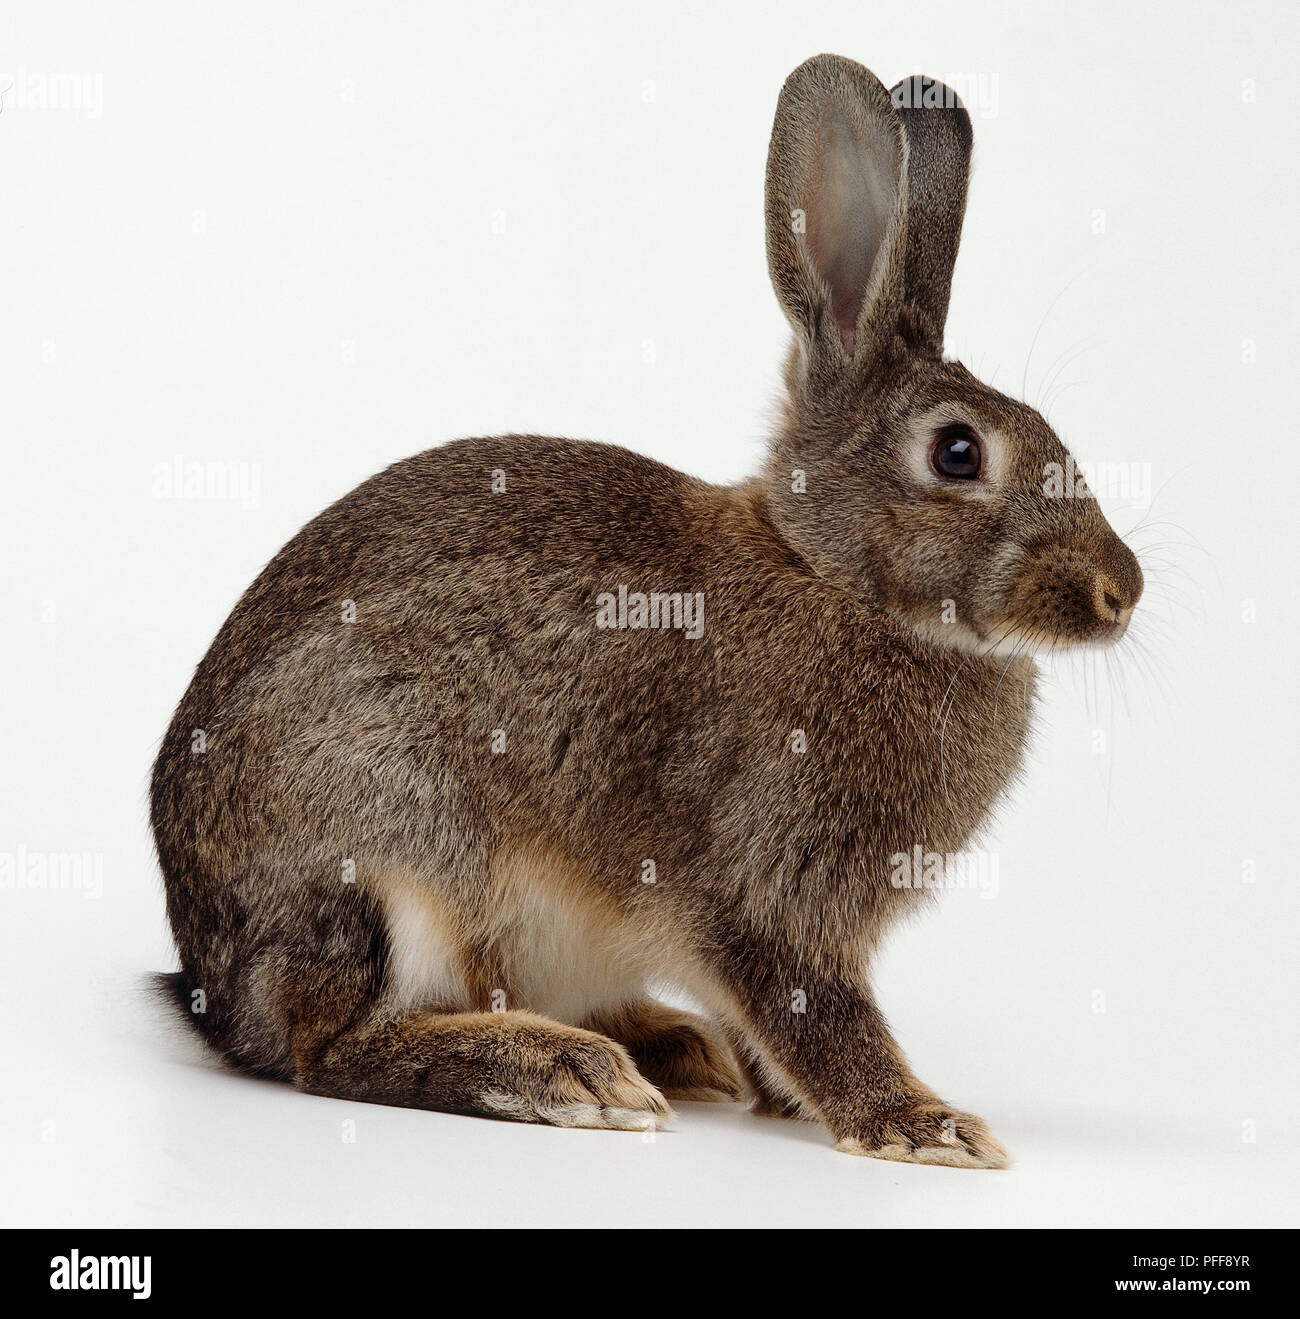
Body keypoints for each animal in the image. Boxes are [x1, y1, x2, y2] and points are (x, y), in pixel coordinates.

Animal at [151, 53, 1142, 1167]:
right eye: (959, 452)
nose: (1121, 591)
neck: (828, 575)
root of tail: (206, 975)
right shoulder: (766, 879)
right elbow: (817, 1011)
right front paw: (922, 1123)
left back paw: (669, 1045)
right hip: (392, 847)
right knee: (330, 1048)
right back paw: (568, 1071)